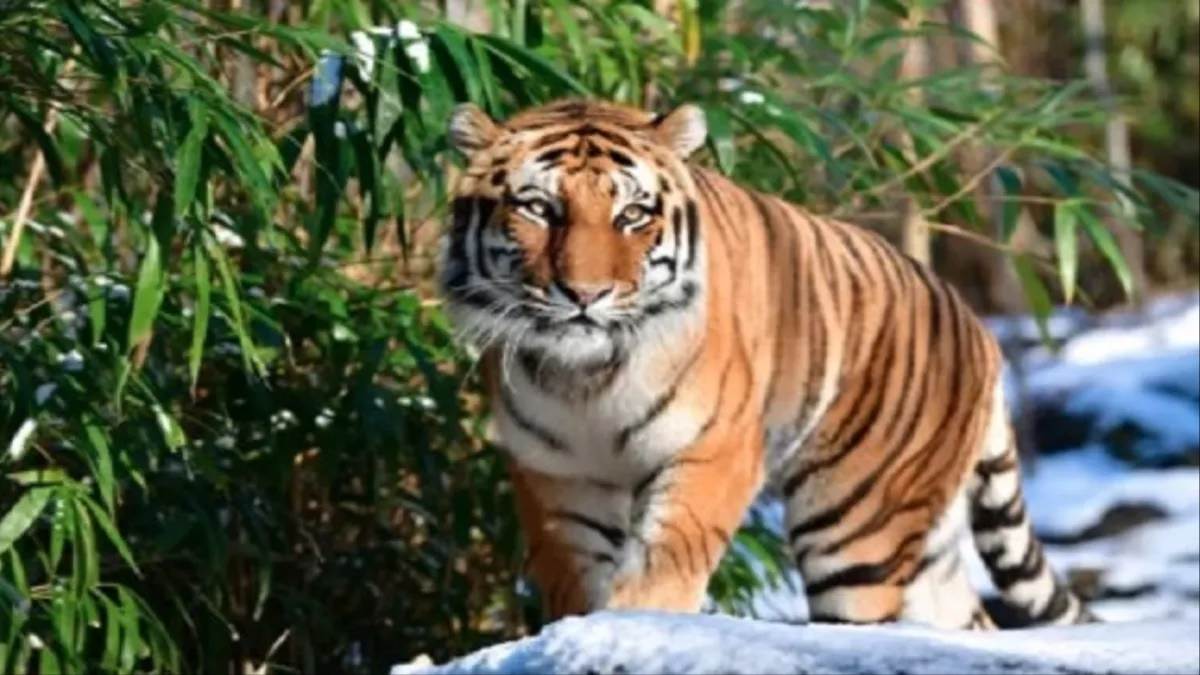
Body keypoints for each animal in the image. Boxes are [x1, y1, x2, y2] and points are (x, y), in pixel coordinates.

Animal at [439, 98, 1095, 630]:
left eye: (632, 215)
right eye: (539, 209)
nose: (586, 294)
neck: (585, 379)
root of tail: (980, 330)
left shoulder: (714, 449)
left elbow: (661, 568)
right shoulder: (557, 475)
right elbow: (576, 579)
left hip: (857, 525)